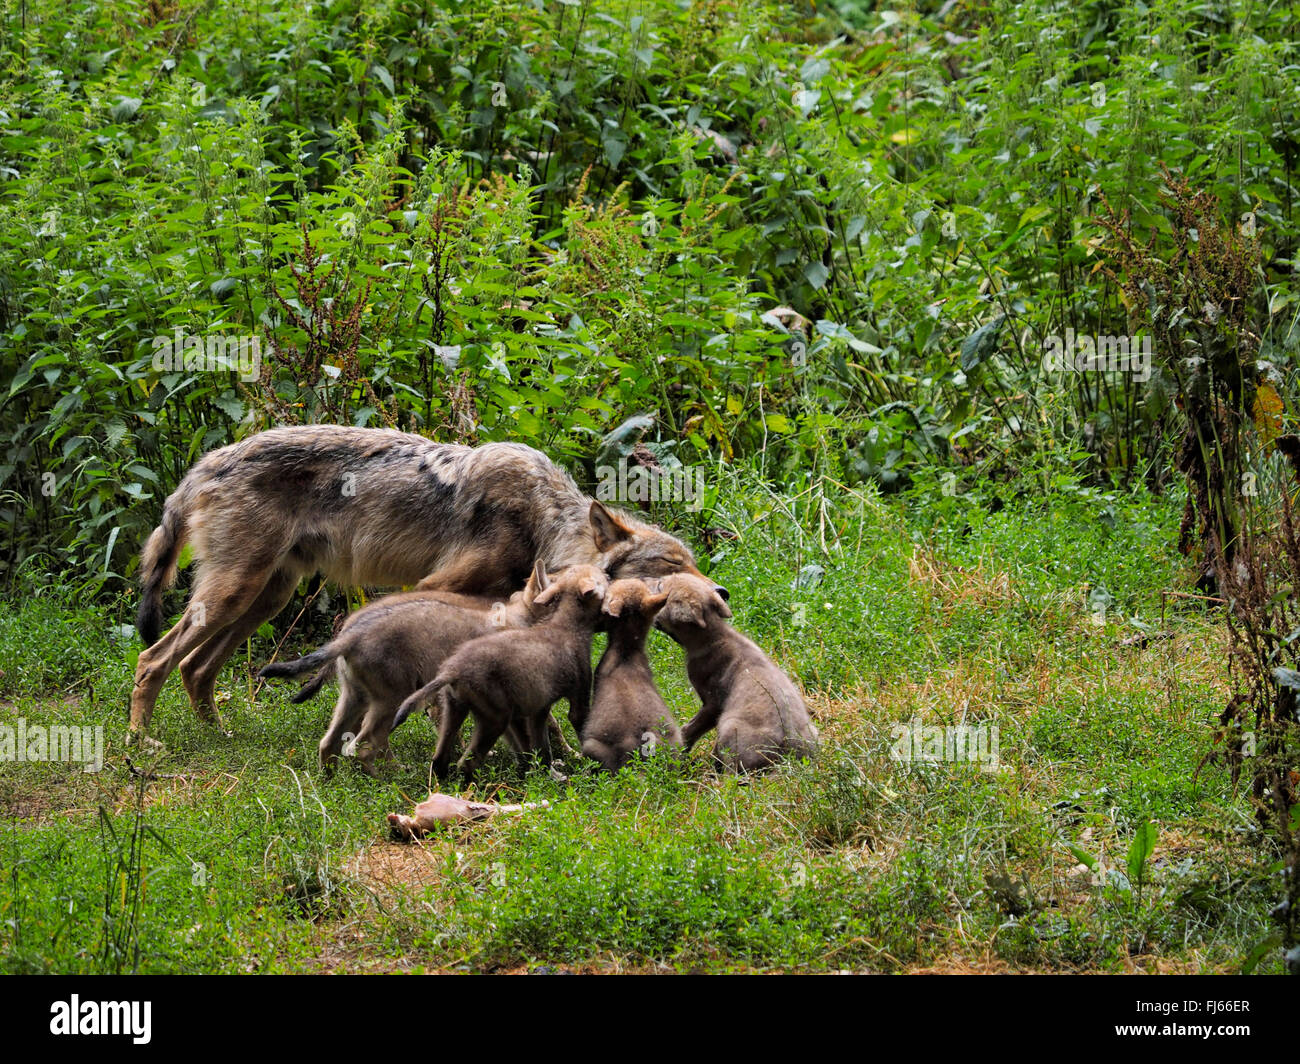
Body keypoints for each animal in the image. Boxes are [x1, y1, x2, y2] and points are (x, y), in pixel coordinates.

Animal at [131, 425, 720, 737]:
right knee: (153, 659)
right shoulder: (427, 588)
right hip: (234, 596)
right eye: (671, 565)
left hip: (262, 600)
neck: (541, 523)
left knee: (193, 668)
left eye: (690, 561)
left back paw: (218, 735)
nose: (723, 593)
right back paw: (142, 745)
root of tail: (206, 463)